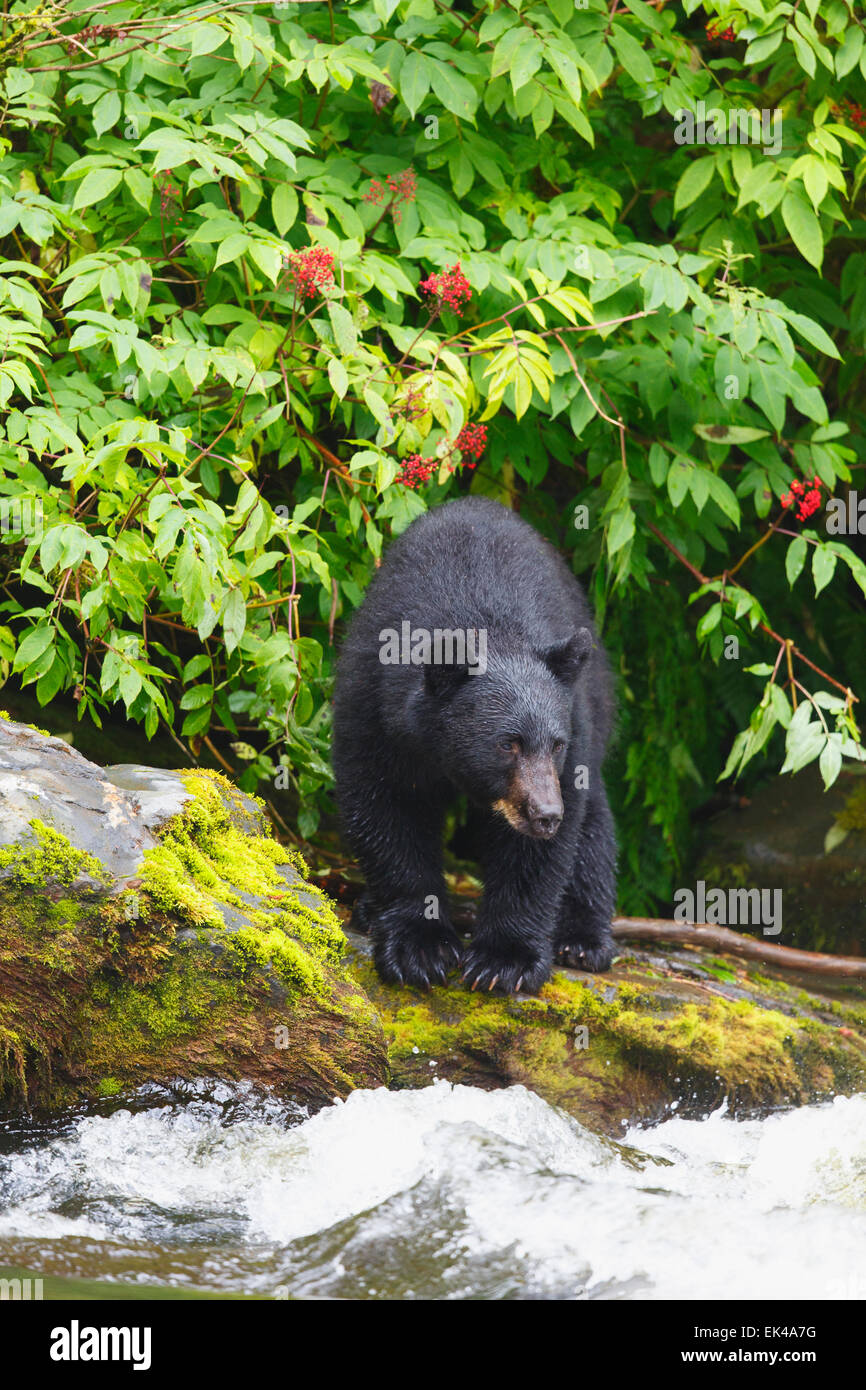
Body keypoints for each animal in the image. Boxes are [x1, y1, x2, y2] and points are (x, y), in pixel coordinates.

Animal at [332, 496, 617, 994]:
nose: (546, 815)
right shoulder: (372, 701)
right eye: (509, 744)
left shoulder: (575, 727)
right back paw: (367, 909)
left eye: (555, 745)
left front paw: (505, 960)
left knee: (594, 821)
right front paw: (419, 948)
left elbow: (535, 856)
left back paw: (583, 940)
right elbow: (386, 809)